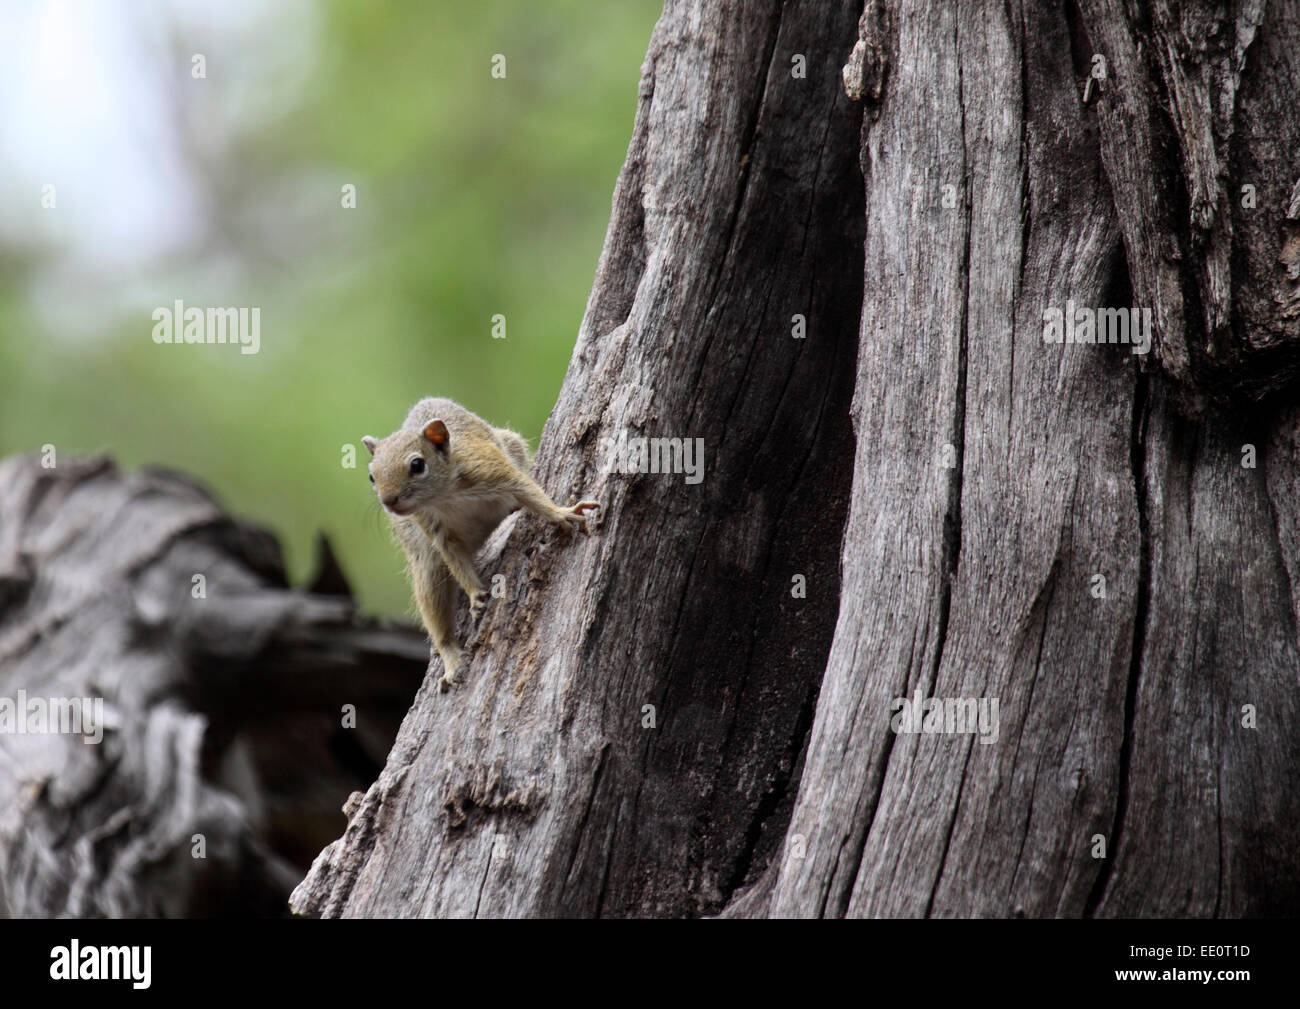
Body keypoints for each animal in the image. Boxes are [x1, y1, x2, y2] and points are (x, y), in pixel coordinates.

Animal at [362, 397, 599, 690]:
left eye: (417, 465)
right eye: (371, 476)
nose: (388, 501)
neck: (444, 496)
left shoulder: (490, 468)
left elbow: (527, 489)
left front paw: (560, 513)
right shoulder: (435, 529)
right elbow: (454, 558)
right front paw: (475, 594)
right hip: (427, 567)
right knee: (436, 613)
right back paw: (452, 660)